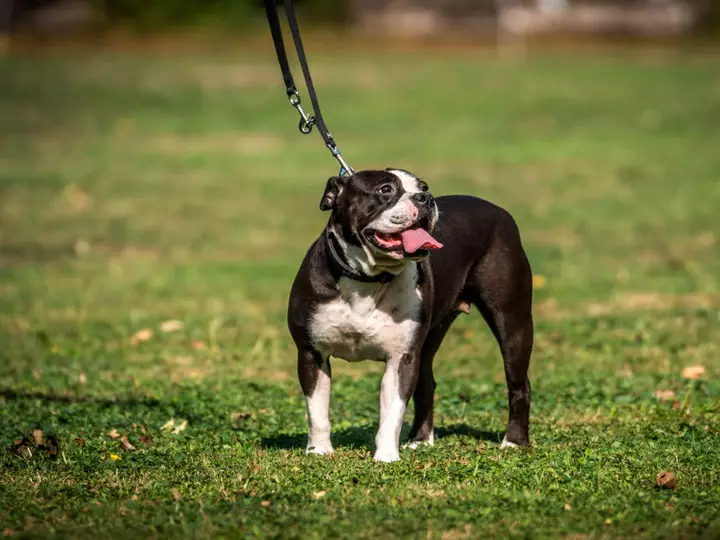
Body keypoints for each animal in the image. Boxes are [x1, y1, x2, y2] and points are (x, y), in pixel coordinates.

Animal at [288, 170, 536, 464]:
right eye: (385, 190)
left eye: (424, 186)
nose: (424, 197)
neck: (367, 279)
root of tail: (498, 210)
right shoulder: (311, 353)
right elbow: (317, 411)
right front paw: (319, 451)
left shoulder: (401, 358)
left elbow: (392, 413)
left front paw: (385, 457)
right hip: (430, 338)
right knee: (426, 383)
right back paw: (420, 439)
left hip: (512, 323)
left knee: (518, 384)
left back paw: (514, 441)